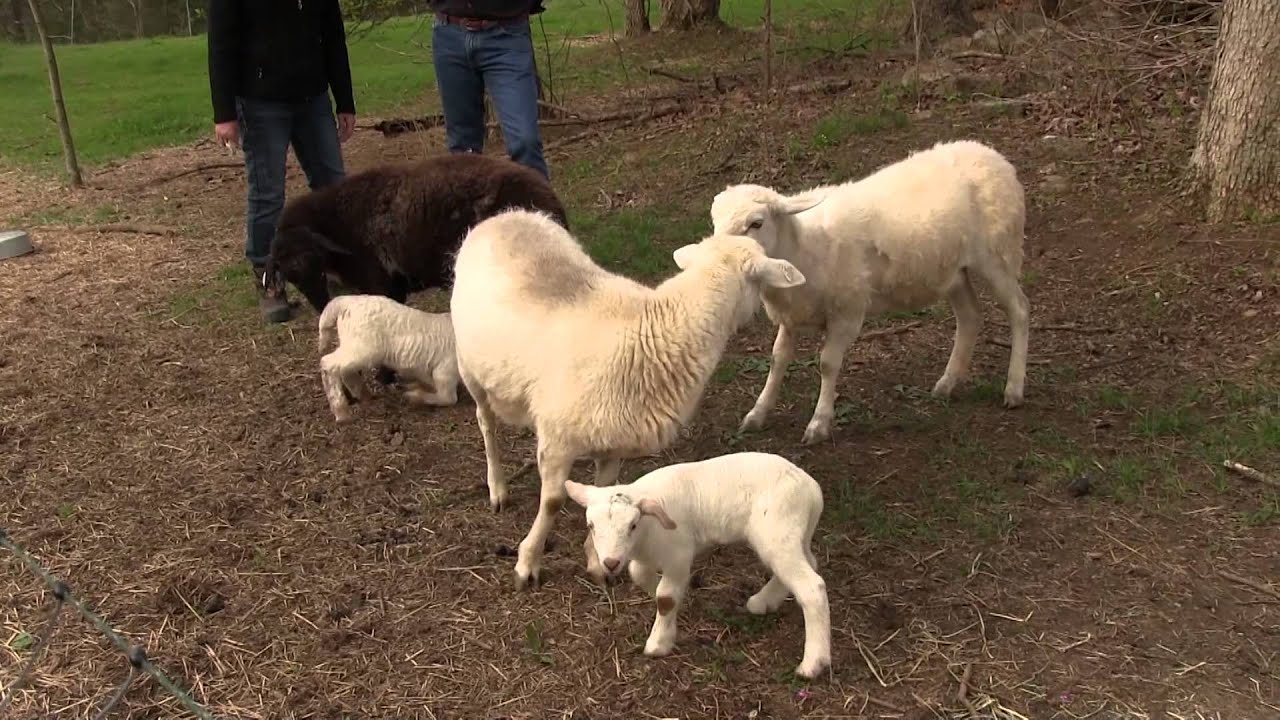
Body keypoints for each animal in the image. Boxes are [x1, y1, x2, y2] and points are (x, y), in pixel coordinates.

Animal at [316, 294, 460, 423]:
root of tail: (346, 302)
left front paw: (414, 386)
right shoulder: (445, 370)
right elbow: (448, 398)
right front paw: (414, 396)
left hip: (353, 345)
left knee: (345, 370)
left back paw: (363, 395)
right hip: (363, 348)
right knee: (328, 363)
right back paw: (341, 412)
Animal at [448, 208, 806, 590]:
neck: (651, 330)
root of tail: (508, 215)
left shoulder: (612, 442)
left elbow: (602, 491)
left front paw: (596, 561)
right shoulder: (559, 439)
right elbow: (553, 502)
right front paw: (528, 562)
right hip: (469, 367)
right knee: (485, 423)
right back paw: (497, 487)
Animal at [564, 451, 831, 680]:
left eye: (632, 525)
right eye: (590, 526)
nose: (610, 563)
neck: (647, 533)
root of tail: (812, 489)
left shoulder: (679, 554)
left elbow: (665, 598)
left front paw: (659, 643)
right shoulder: (646, 556)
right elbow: (639, 574)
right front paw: (674, 594)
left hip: (777, 529)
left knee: (811, 586)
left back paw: (813, 664)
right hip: (794, 533)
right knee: (808, 562)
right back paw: (763, 602)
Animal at [709, 139, 1030, 445]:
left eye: (756, 223)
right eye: (714, 220)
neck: (805, 246)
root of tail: (991, 154)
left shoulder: (847, 312)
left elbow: (827, 364)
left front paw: (819, 423)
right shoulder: (792, 314)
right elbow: (777, 360)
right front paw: (758, 413)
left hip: (997, 254)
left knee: (1019, 310)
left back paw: (1014, 388)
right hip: (952, 269)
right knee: (970, 317)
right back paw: (947, 383)